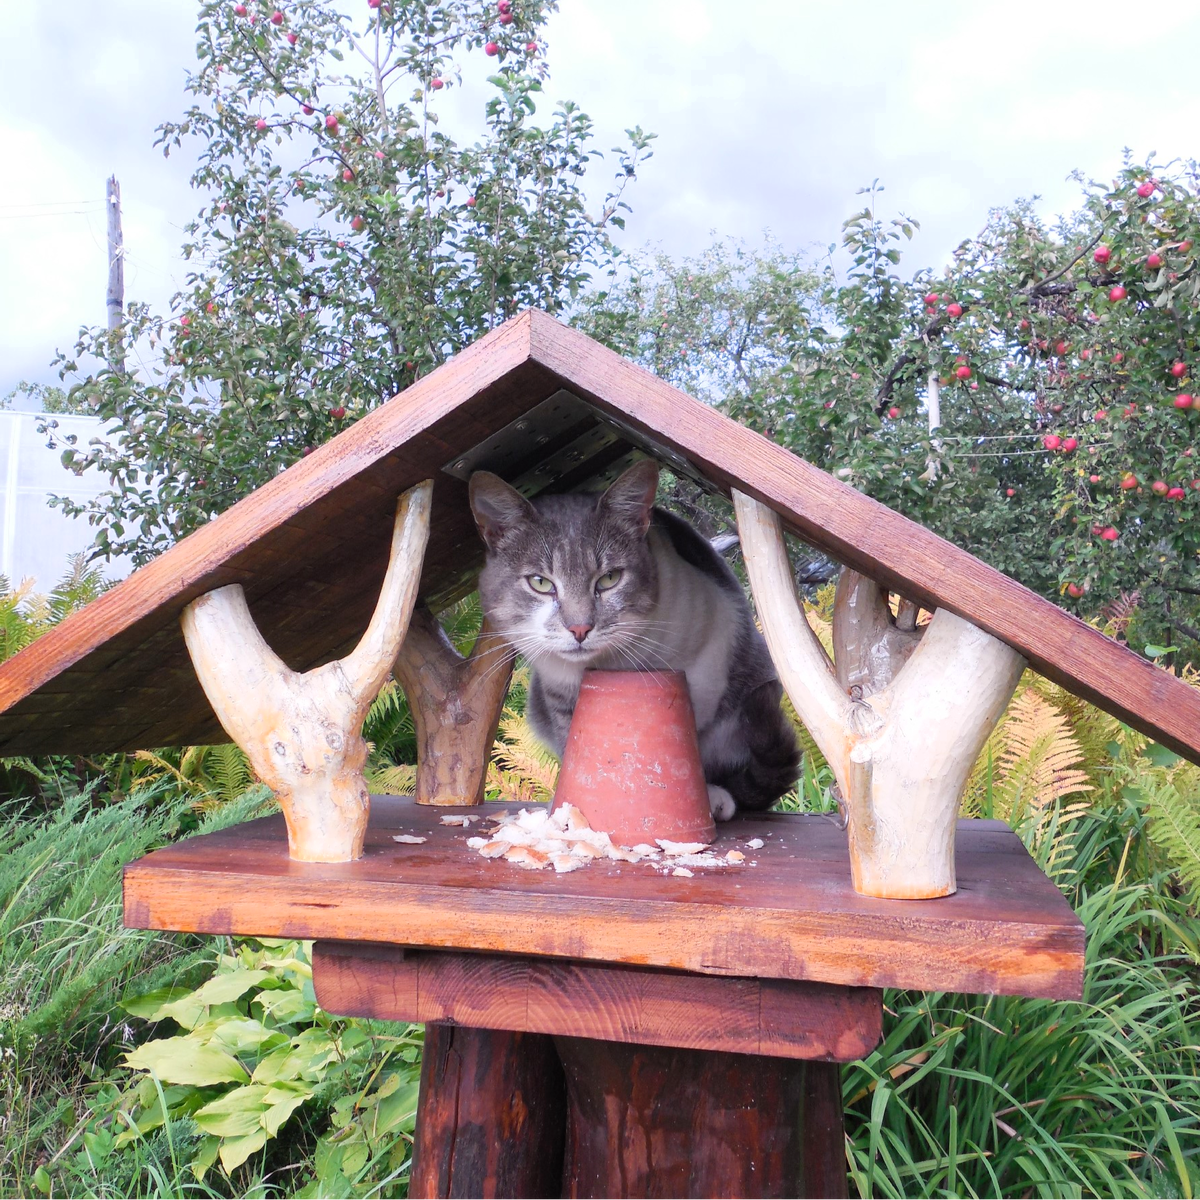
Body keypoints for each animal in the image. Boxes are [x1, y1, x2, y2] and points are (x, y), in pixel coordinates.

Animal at [468, 456, 796, 816]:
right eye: (540, 583)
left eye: (609, 579)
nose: (579, 629)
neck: (604, 663)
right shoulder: (557, 691)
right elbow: (572, 741)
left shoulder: (709, 657)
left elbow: (687, 737)